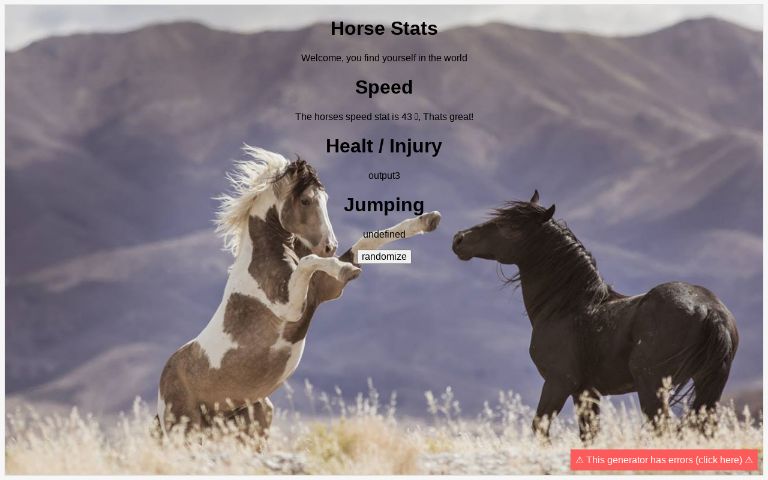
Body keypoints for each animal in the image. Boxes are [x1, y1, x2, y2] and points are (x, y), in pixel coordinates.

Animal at [157, 145, 441, 436]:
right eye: (305, 201)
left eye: (325, 199)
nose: (329, 247)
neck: (264, 257)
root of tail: (162, 389)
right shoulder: (291, 307)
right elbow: (310, 260)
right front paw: (344, 268)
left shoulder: (325, 290)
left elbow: (365, 241)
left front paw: (427, 220)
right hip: (187, 430)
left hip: (251, 422)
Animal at [451, 190, 738, 441]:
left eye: (511, 227)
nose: (459, 239)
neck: (567, 307)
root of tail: (710, 310)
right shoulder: (587, 391)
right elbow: (588, 435)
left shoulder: (559, 382)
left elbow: (540, 429)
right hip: (708, 385)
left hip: (652, 385)